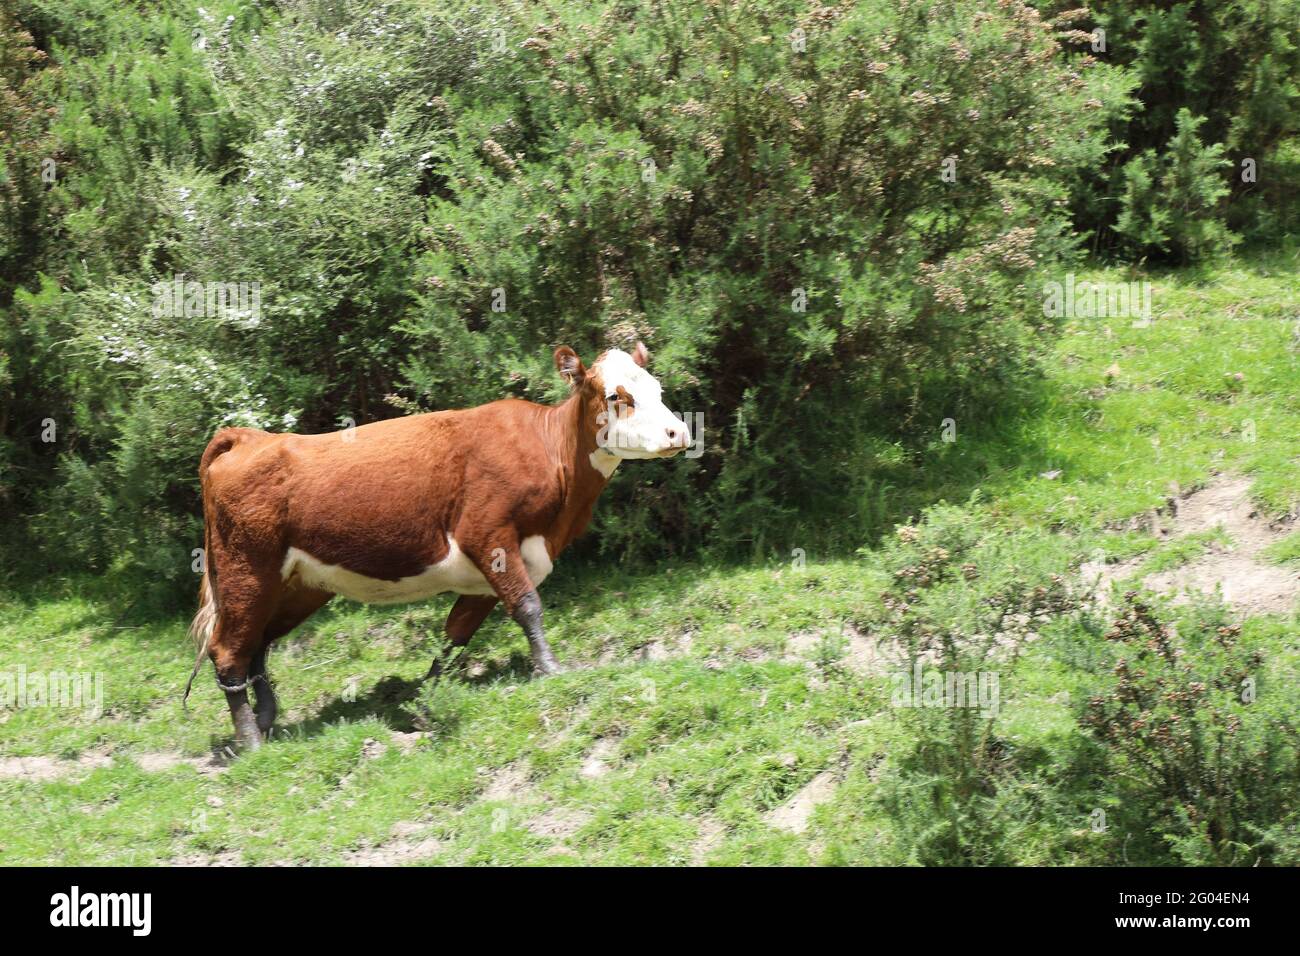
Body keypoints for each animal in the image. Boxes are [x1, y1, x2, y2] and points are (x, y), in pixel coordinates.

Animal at [184, 343, 691, 749]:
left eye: (657, 389)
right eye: (616, 396)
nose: (679, 432)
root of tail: (249, 437)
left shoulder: (485, 575)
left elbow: (455, 636)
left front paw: (425, 702)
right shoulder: (489, 536)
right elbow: (528, 606)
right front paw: (551, 669)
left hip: (298, 583)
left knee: (258, 643)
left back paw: (266, 719)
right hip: (247, 570)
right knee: (228, 651)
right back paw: (250, 740)